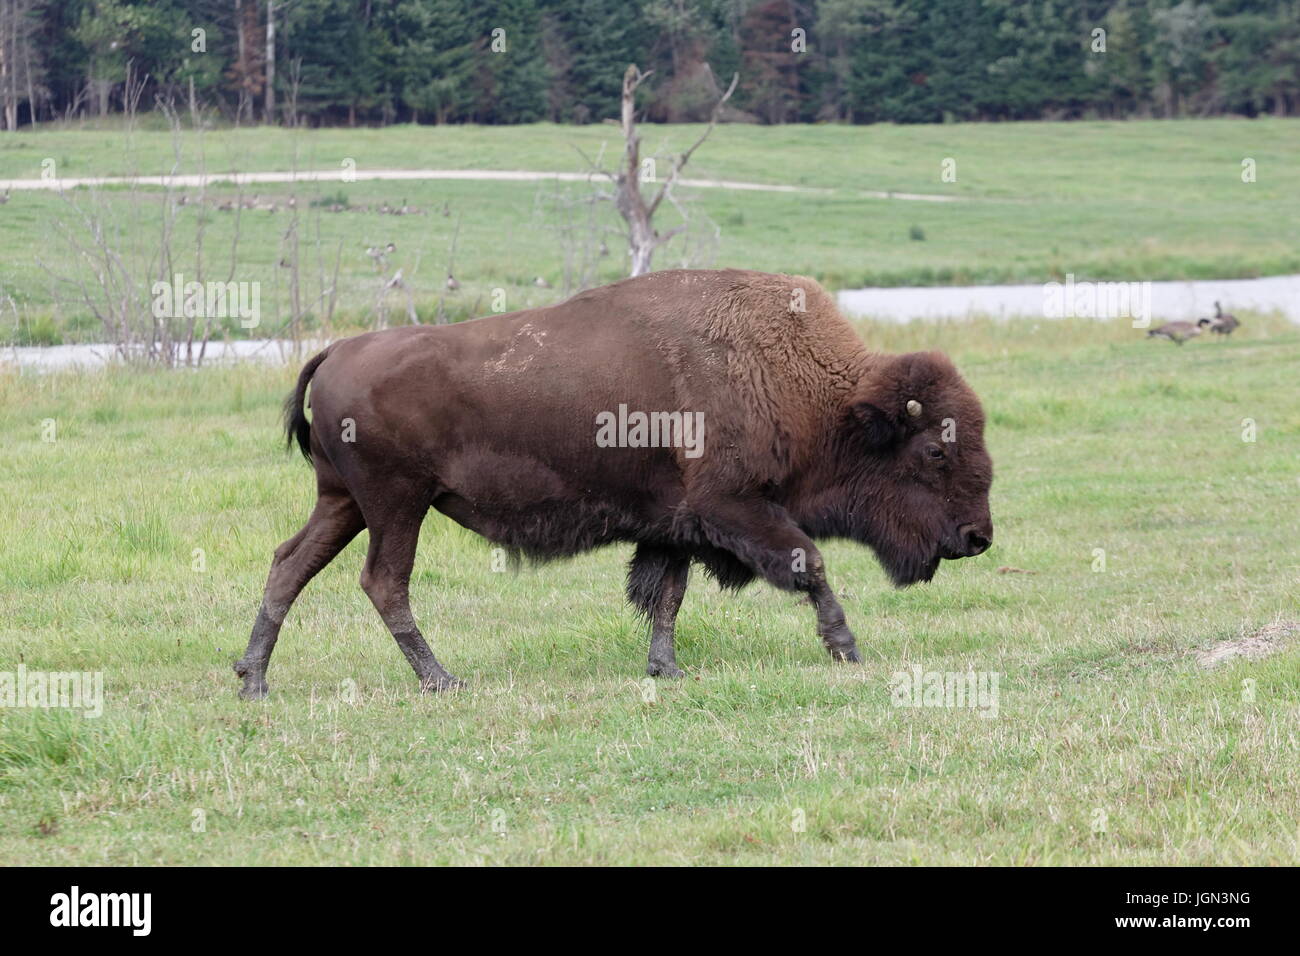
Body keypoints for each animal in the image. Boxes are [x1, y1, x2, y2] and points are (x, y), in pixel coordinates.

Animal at [234, 269, 993, 698]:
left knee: (288, 565)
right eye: (935, 451)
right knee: (384, 582)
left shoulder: (679, 523)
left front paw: (667, 670)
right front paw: (845, 646)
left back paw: (253, 680)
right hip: (397, 503)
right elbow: (808, 562)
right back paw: (441, 681)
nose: (978, 536)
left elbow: (667, 595)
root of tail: (339, 348)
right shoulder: (734, 507)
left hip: (344, 502)